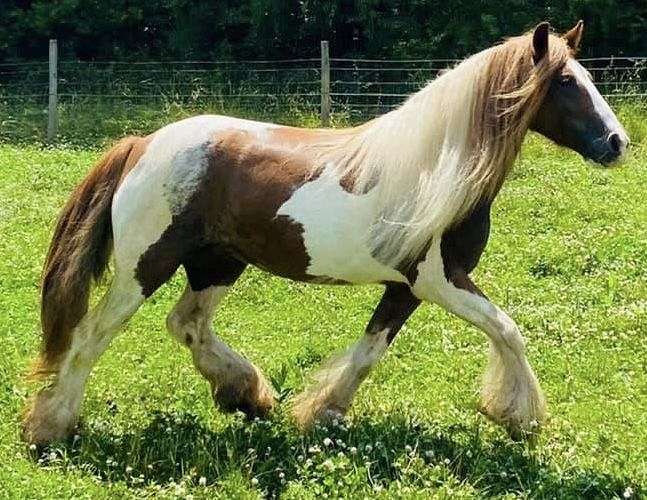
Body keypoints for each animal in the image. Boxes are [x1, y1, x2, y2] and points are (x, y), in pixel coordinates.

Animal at [23, 21, 629, 445]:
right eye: (567, 82)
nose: (617, 142)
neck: (439, 172)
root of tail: (143, 144)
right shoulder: (438, 279)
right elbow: (507, 329)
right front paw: (518, 415)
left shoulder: (405, 288)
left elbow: (369, 352)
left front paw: (321, 411)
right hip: (143, 267)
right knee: (90, 335)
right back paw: (51, 426)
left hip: (218, 262)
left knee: (187, 323)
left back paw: (245, 394)